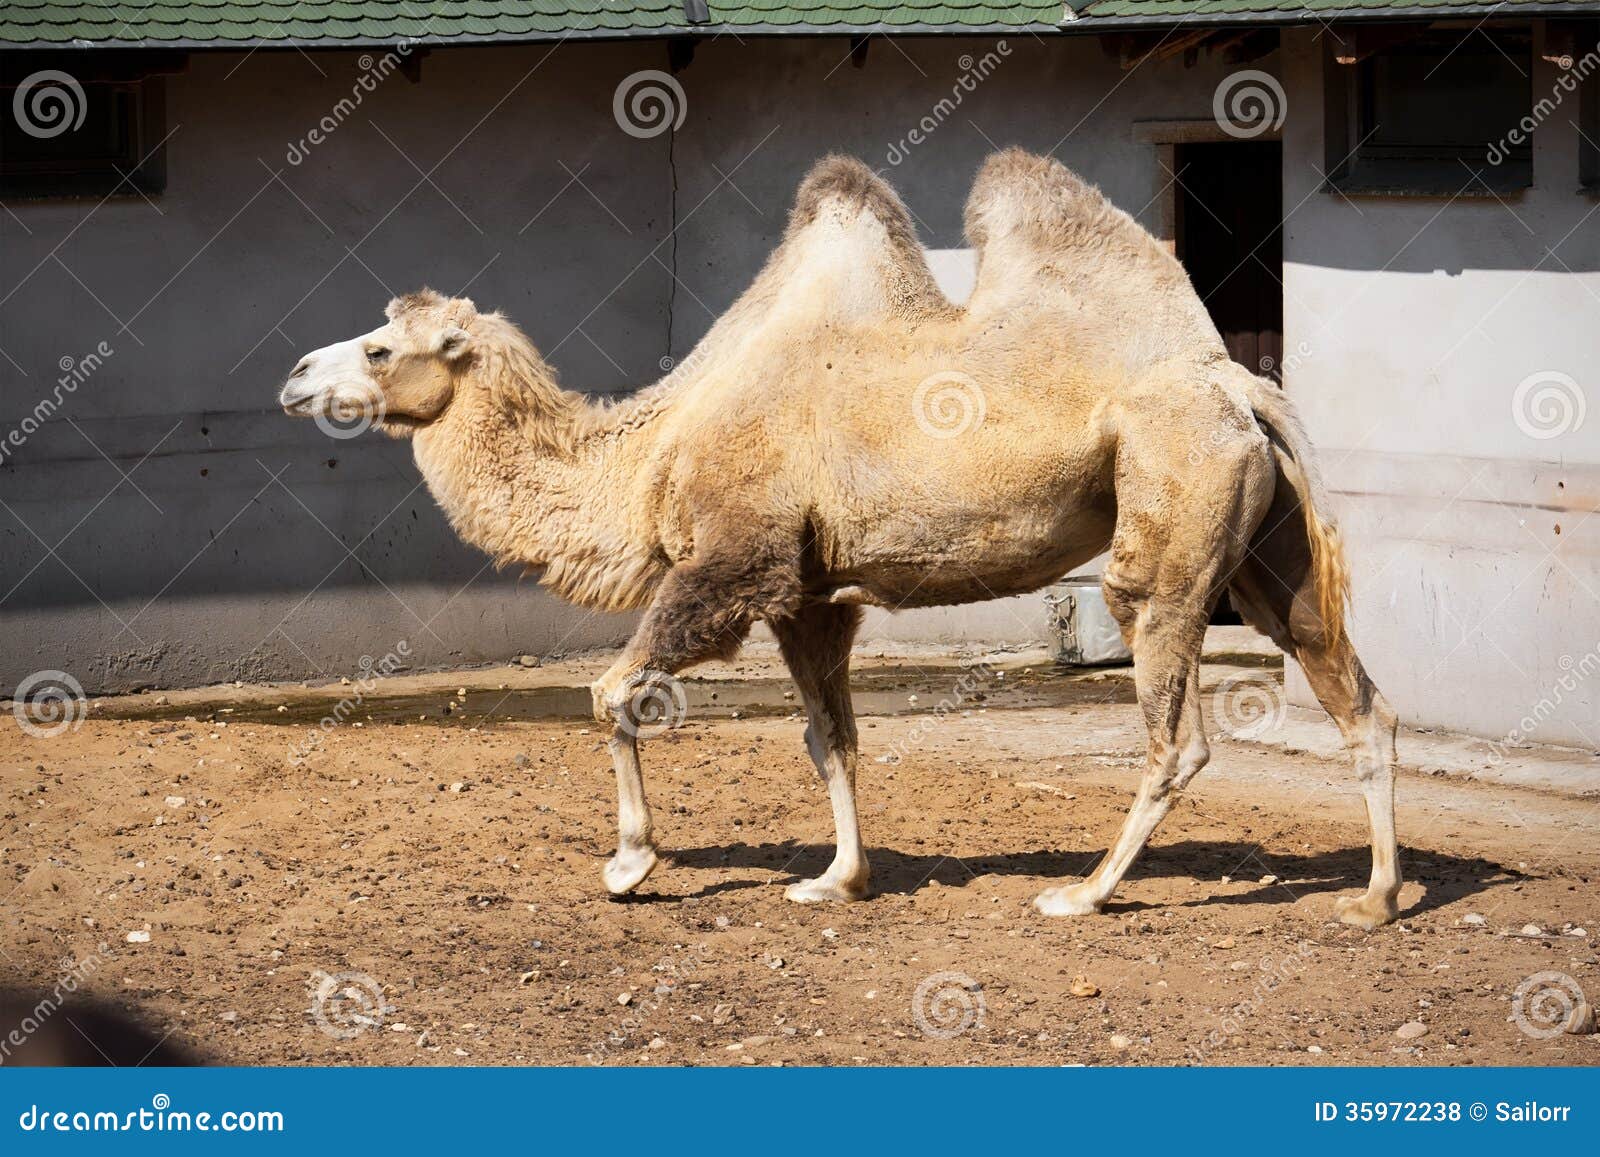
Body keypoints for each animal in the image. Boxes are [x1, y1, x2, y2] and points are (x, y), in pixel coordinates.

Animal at [278, 149, 1402, 928]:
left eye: (380, 348)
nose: (293, 375)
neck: (655, 448)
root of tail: (1240, 384)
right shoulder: (808, 594)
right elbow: (832, 738)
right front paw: (838, 879)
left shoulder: (730, 563)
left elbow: (612, 691)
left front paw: (632, 861)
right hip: (1264, 541)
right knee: (1355, 695)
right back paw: (1376, 897)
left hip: (1170, 517)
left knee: (1177, 726)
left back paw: (1082, 894)